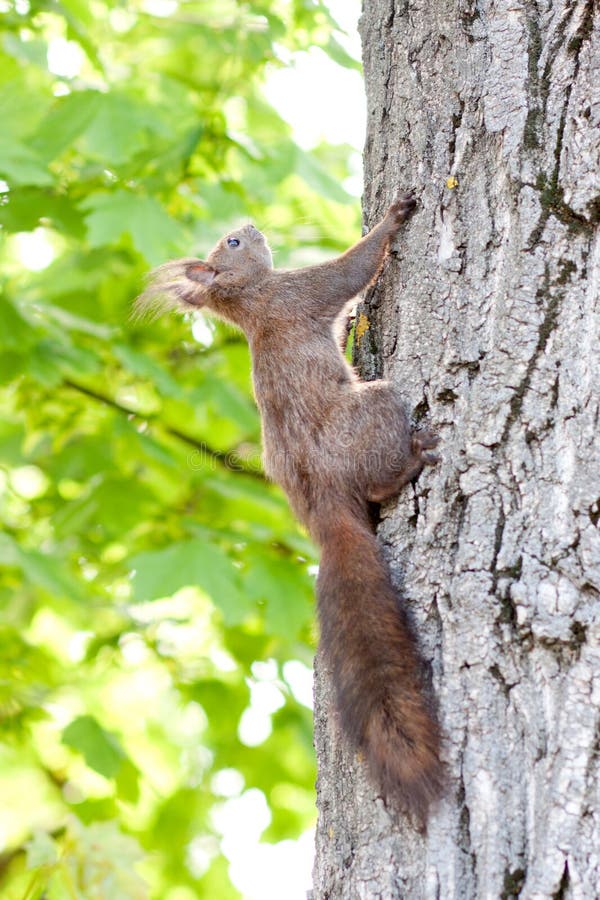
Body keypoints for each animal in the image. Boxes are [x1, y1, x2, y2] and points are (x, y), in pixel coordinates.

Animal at [135, 193, 444, 820]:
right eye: (233, 243)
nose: (249, 224)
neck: (250, 300)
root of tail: (323, 512)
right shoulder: (300, 293)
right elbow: (350, 271)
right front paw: (394, 218)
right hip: (374, 413)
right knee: (382, 477)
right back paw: (414, 457)